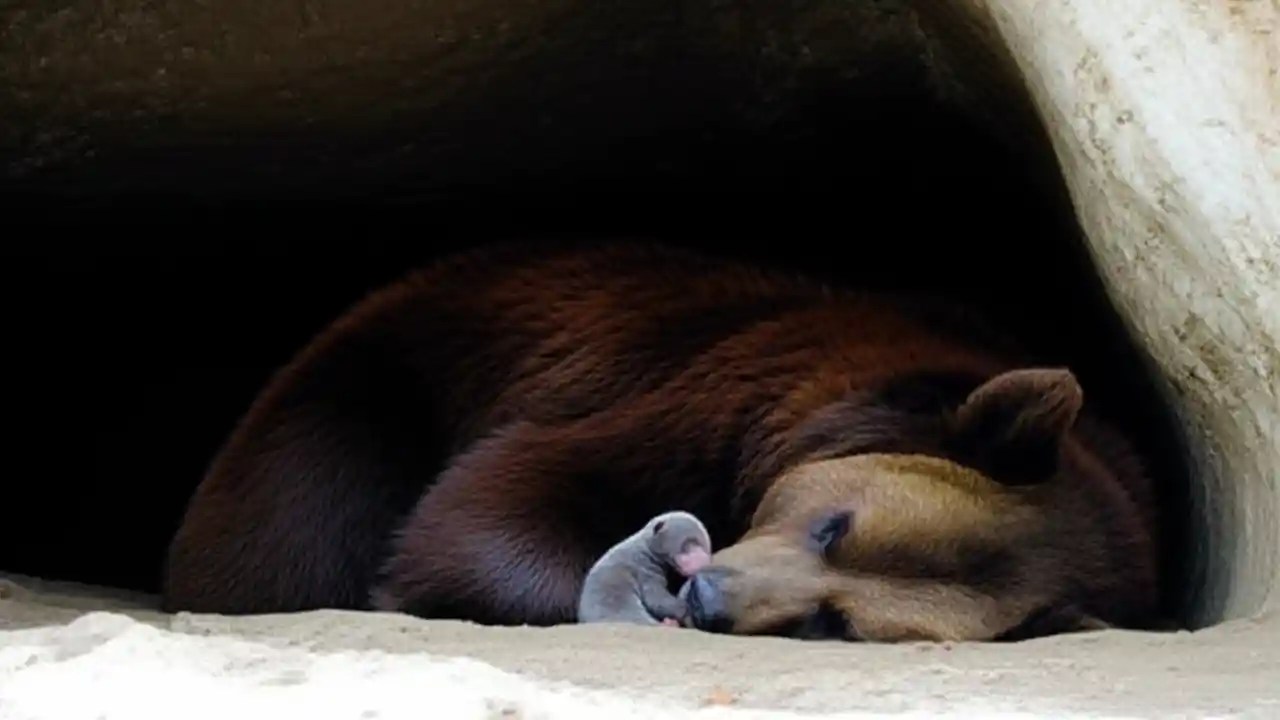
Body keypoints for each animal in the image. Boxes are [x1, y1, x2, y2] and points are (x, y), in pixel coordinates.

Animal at [161, 240, 1163, 640]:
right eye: (832, 522)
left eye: (834, 621)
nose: (707, 591)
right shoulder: (701, 400)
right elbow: (490, 505)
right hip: (353, 402)